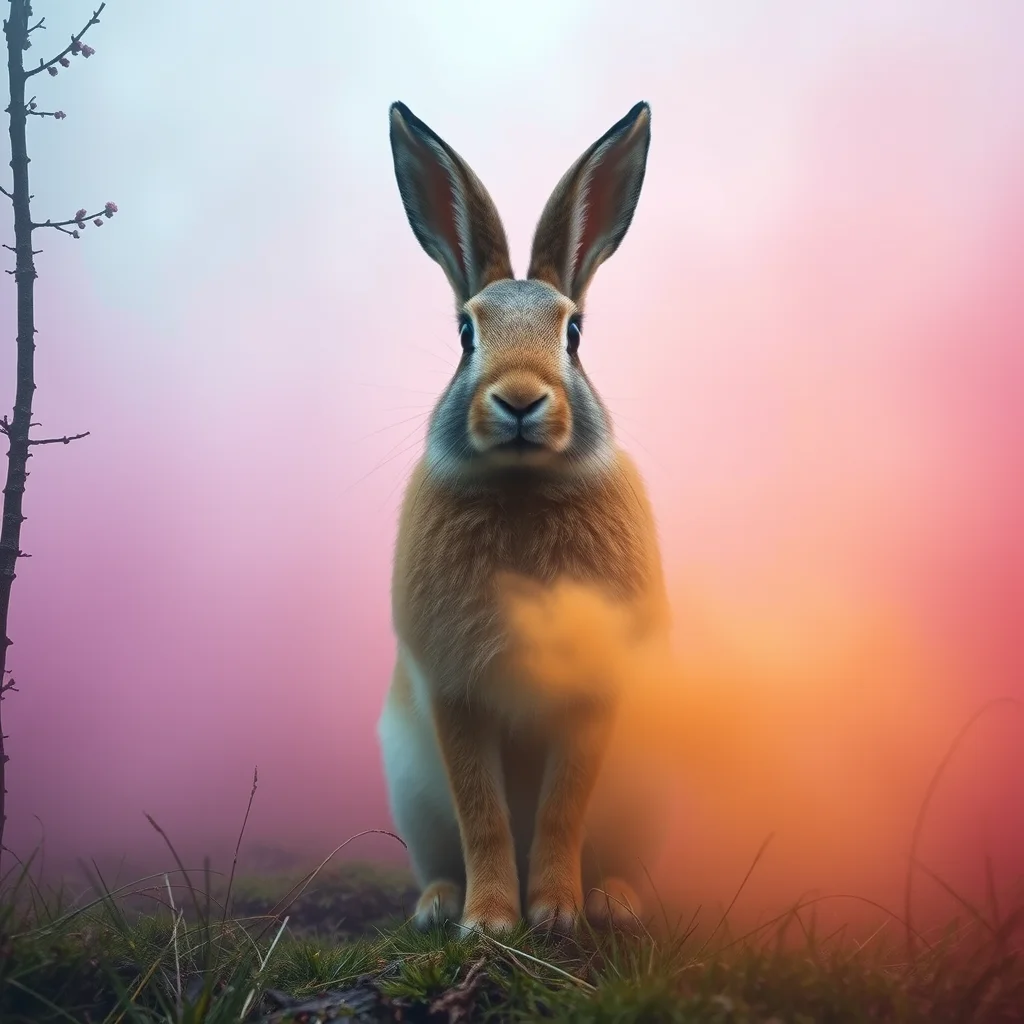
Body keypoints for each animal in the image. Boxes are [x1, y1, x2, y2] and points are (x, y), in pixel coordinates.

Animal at [376, 100, 671, 935]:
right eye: (465, 333)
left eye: (573, 332)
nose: (517, 400)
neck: (521, 486)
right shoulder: (454, 692)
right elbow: (484, 813)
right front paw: (488, 922)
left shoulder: (593, 694)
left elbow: (562, 806)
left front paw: (558, 913)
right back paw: (438, 904)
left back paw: (616, 901)